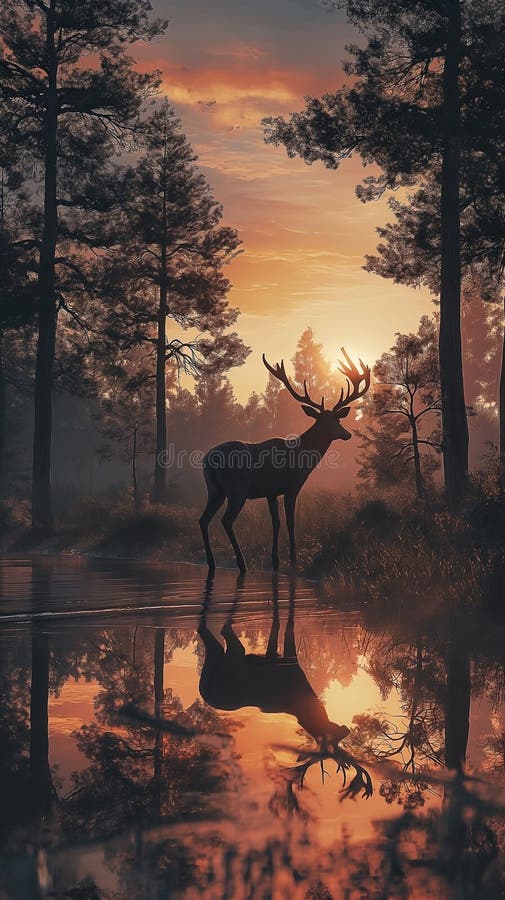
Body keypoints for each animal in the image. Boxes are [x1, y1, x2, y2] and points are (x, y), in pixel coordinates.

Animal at [199, 348, 370, 572]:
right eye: (332, 420)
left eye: (337, 418)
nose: (347, 434)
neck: (301, 457)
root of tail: (208, 461)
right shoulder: (292, 485)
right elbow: (290, 520)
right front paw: (292, 556)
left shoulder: (271, 491)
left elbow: (276, 522)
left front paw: (275, 559)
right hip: (237, 489)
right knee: (226, 520)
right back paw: (241, 562)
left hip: (215, 490)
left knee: (203, 520)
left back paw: (211, 561)